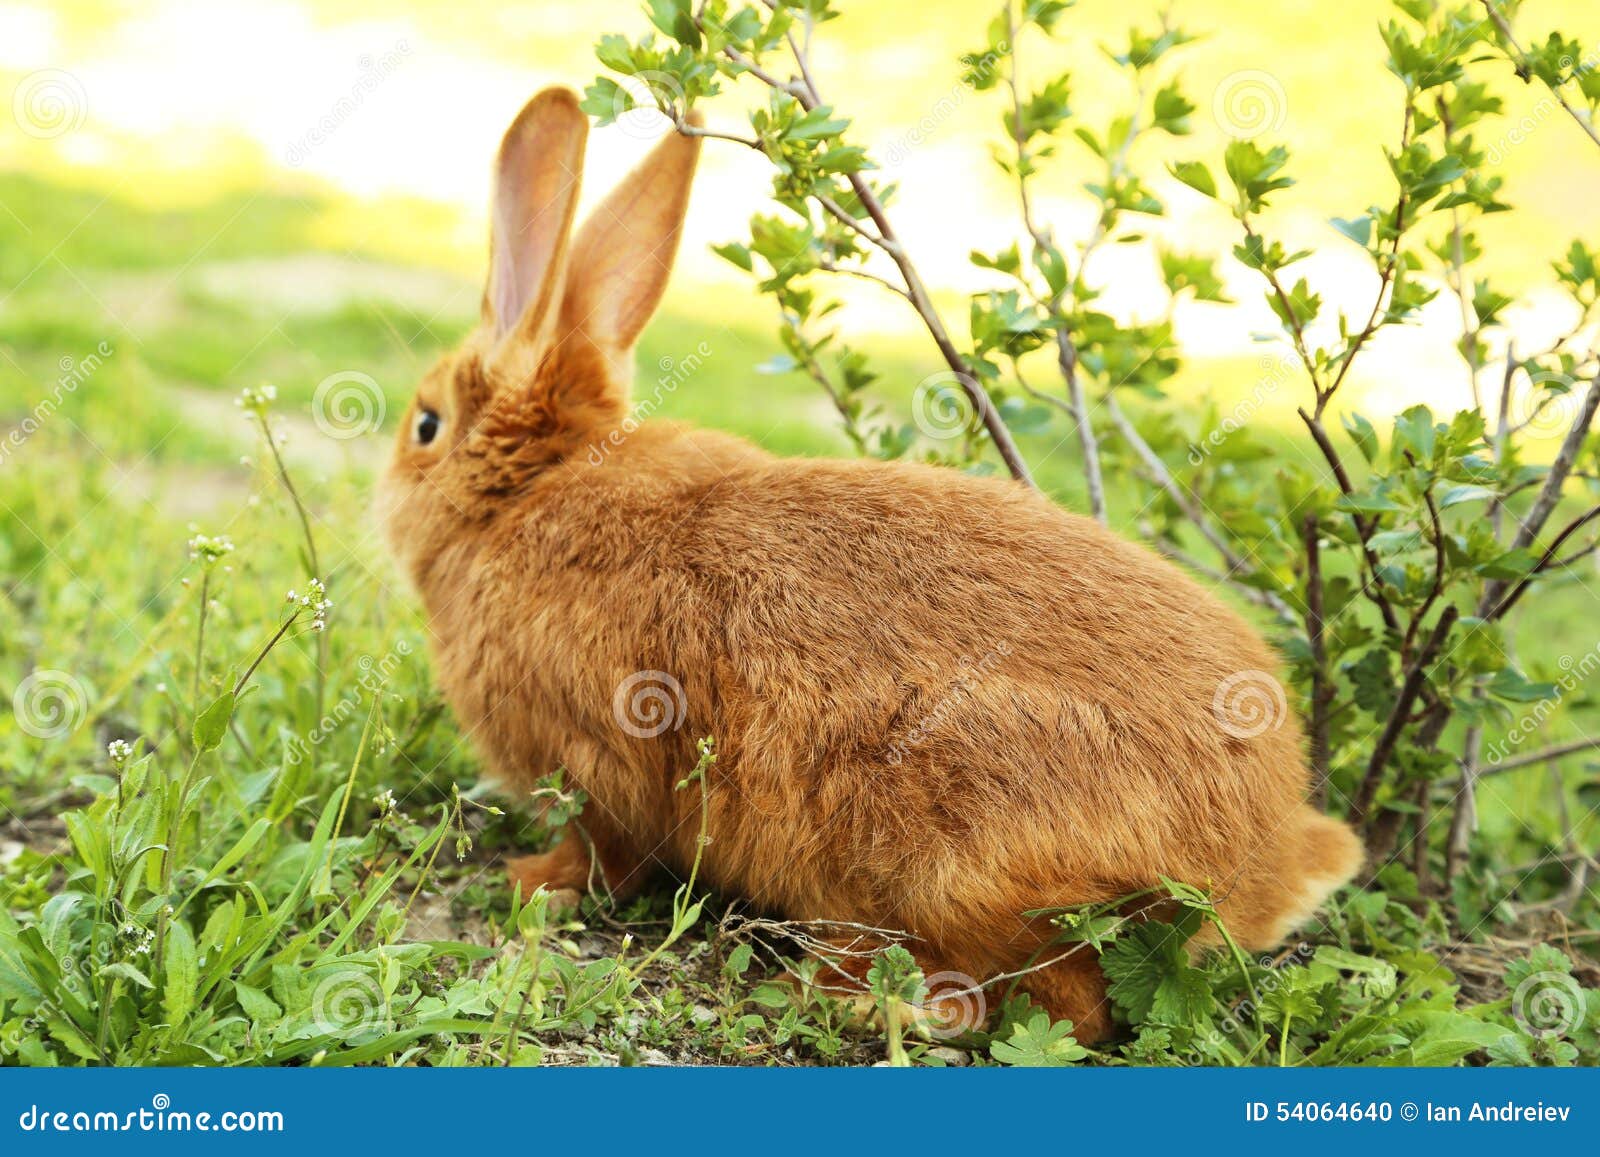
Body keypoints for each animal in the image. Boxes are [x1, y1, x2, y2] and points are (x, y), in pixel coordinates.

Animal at [379, 86, 1363, 1043]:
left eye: (425, 424)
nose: (384, 498)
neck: (532, 490)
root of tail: (1270, 861)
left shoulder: (596, 770)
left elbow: (600, 854)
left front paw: (528, 878)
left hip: (958, 853)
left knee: (1059, 1009)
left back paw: (858, 997)